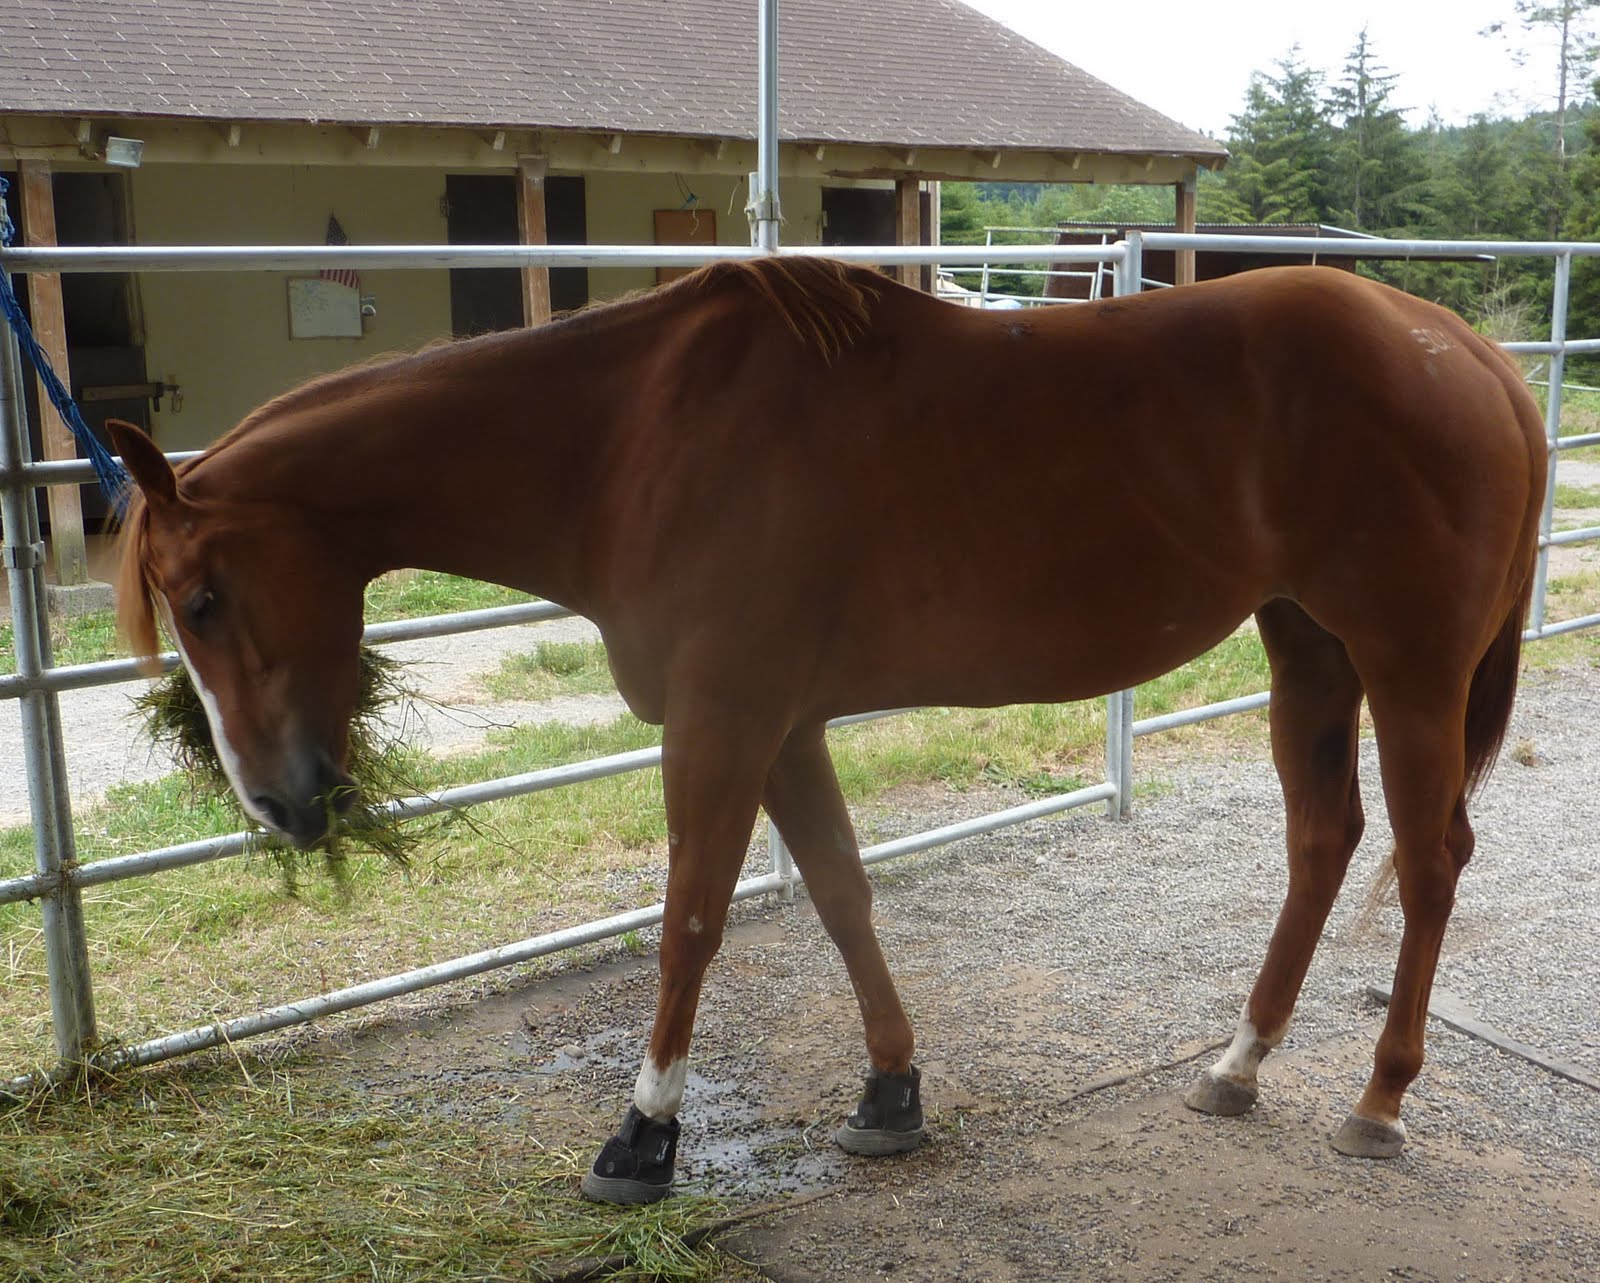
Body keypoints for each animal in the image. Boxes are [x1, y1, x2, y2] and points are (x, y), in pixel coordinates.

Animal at [109, 255, 1546, 1203]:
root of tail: (1466, 352)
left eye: (203, 594)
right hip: (1307, 650)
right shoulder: (784, 725)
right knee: (1323, 839)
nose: (283, 803)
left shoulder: (723, 719)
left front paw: (643, 1135)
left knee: (1428, 858)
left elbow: (691, 918)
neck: (630, 439)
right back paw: (1238, 1063)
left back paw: (1379, 1099)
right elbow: (844, 894)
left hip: (1408, 671)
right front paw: (889, 1094)